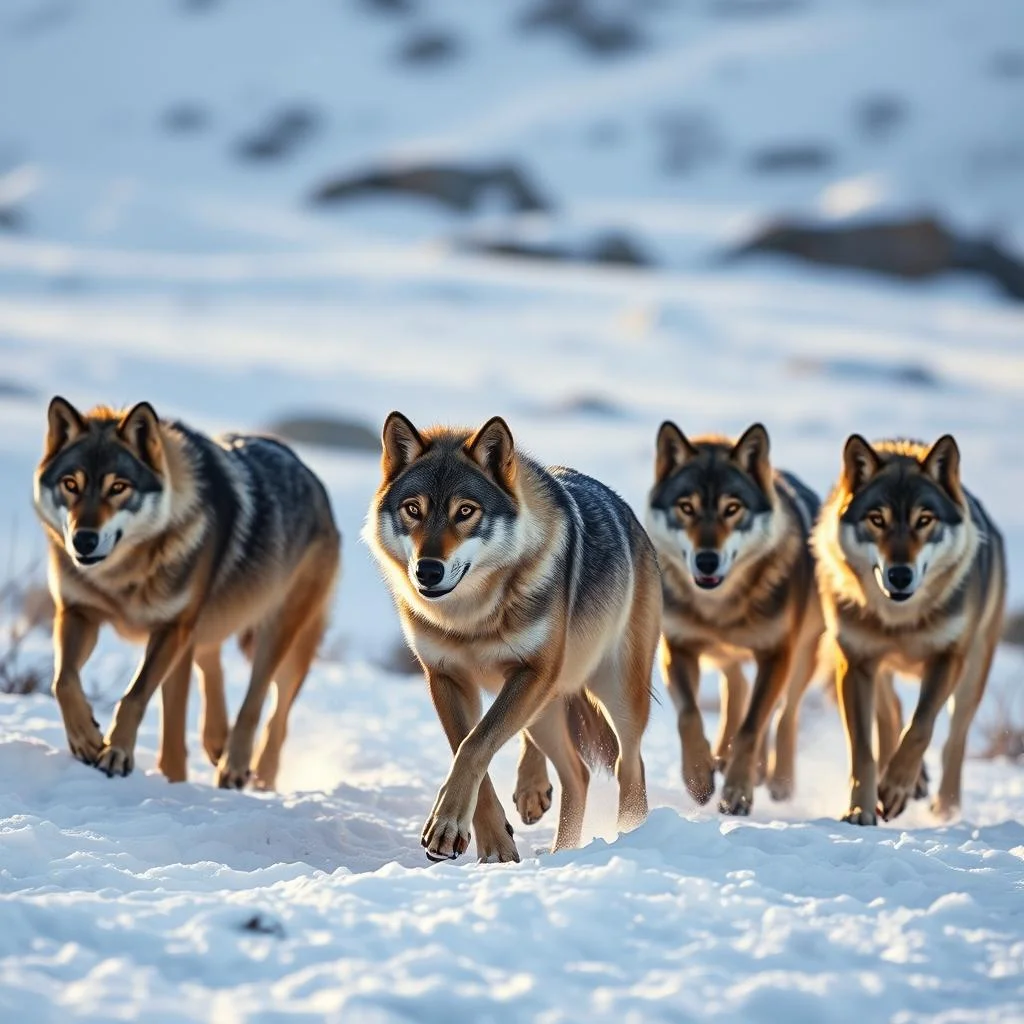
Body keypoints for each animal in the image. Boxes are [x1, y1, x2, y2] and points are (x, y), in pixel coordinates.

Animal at [33, 397, 340, 789]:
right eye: (71, 484)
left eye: (119, 487)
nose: (83, 540)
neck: (122, 578)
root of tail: (308, 473)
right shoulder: (78, 613)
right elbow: (63, 681)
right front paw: (87, 740)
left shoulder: (170, 628)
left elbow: (134, 697)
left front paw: (117, 755)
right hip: (200, 632)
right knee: (210, 667)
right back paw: (214, 743)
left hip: (278, 636)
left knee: (266, 707)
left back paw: (245, 771)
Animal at [364, 412, 661, 862]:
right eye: (413, 509)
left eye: (465, 511)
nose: (427, 571)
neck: (470, 620)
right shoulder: (447, 678)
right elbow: (468, 746)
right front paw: (492, 846)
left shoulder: (532, 671)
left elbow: (475, 745)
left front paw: (447, 827)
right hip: (548, 705)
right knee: (577, 774)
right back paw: (557, 843)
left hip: (614, 692)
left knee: (630, 764)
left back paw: (629, 834)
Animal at [645, 422, 824, 815]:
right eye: (686, 507)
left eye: (732, 508)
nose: (707, 560)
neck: (721, 607)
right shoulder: (678, 648)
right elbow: (689, 714)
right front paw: (699, 777)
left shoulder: (775, 654)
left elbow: (752, 726)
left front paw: (739, 791)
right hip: (723, 654)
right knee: (738, 686)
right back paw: (722, 757)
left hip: (801, 656)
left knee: (786, 712)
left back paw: (777, 779)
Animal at [813, 434, 1005, 824]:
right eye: (877, 519)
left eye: (924, 520)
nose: (899, 575)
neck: (901, 619)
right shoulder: (854, 663)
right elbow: (864, 749)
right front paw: (861, 809)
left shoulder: (947, 657)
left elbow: (921, 727)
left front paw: (897, 787)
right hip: (876, 669)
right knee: (892, 713)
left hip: (972, 674)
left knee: (954, 741)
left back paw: (946, 810)